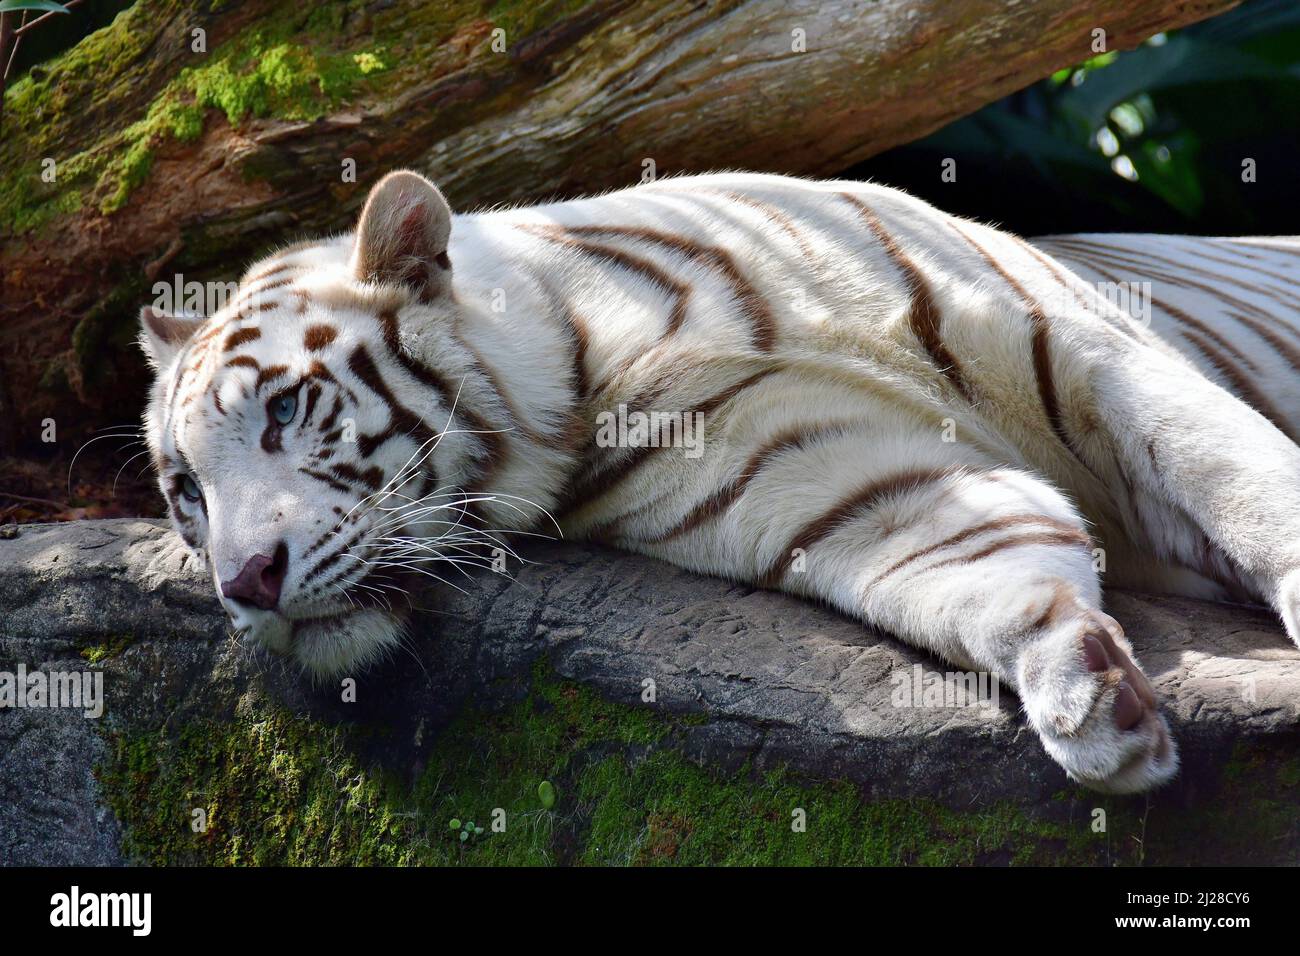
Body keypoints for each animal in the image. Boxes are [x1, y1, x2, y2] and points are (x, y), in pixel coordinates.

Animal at [138, 169, 1300, 794]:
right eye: (185, 491)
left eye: (286, 410)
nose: (243, 582)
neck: (590, 365)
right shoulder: (832, 477)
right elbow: (979, 560)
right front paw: (1090, 699)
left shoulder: (1084, 341)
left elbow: (1240, 479)